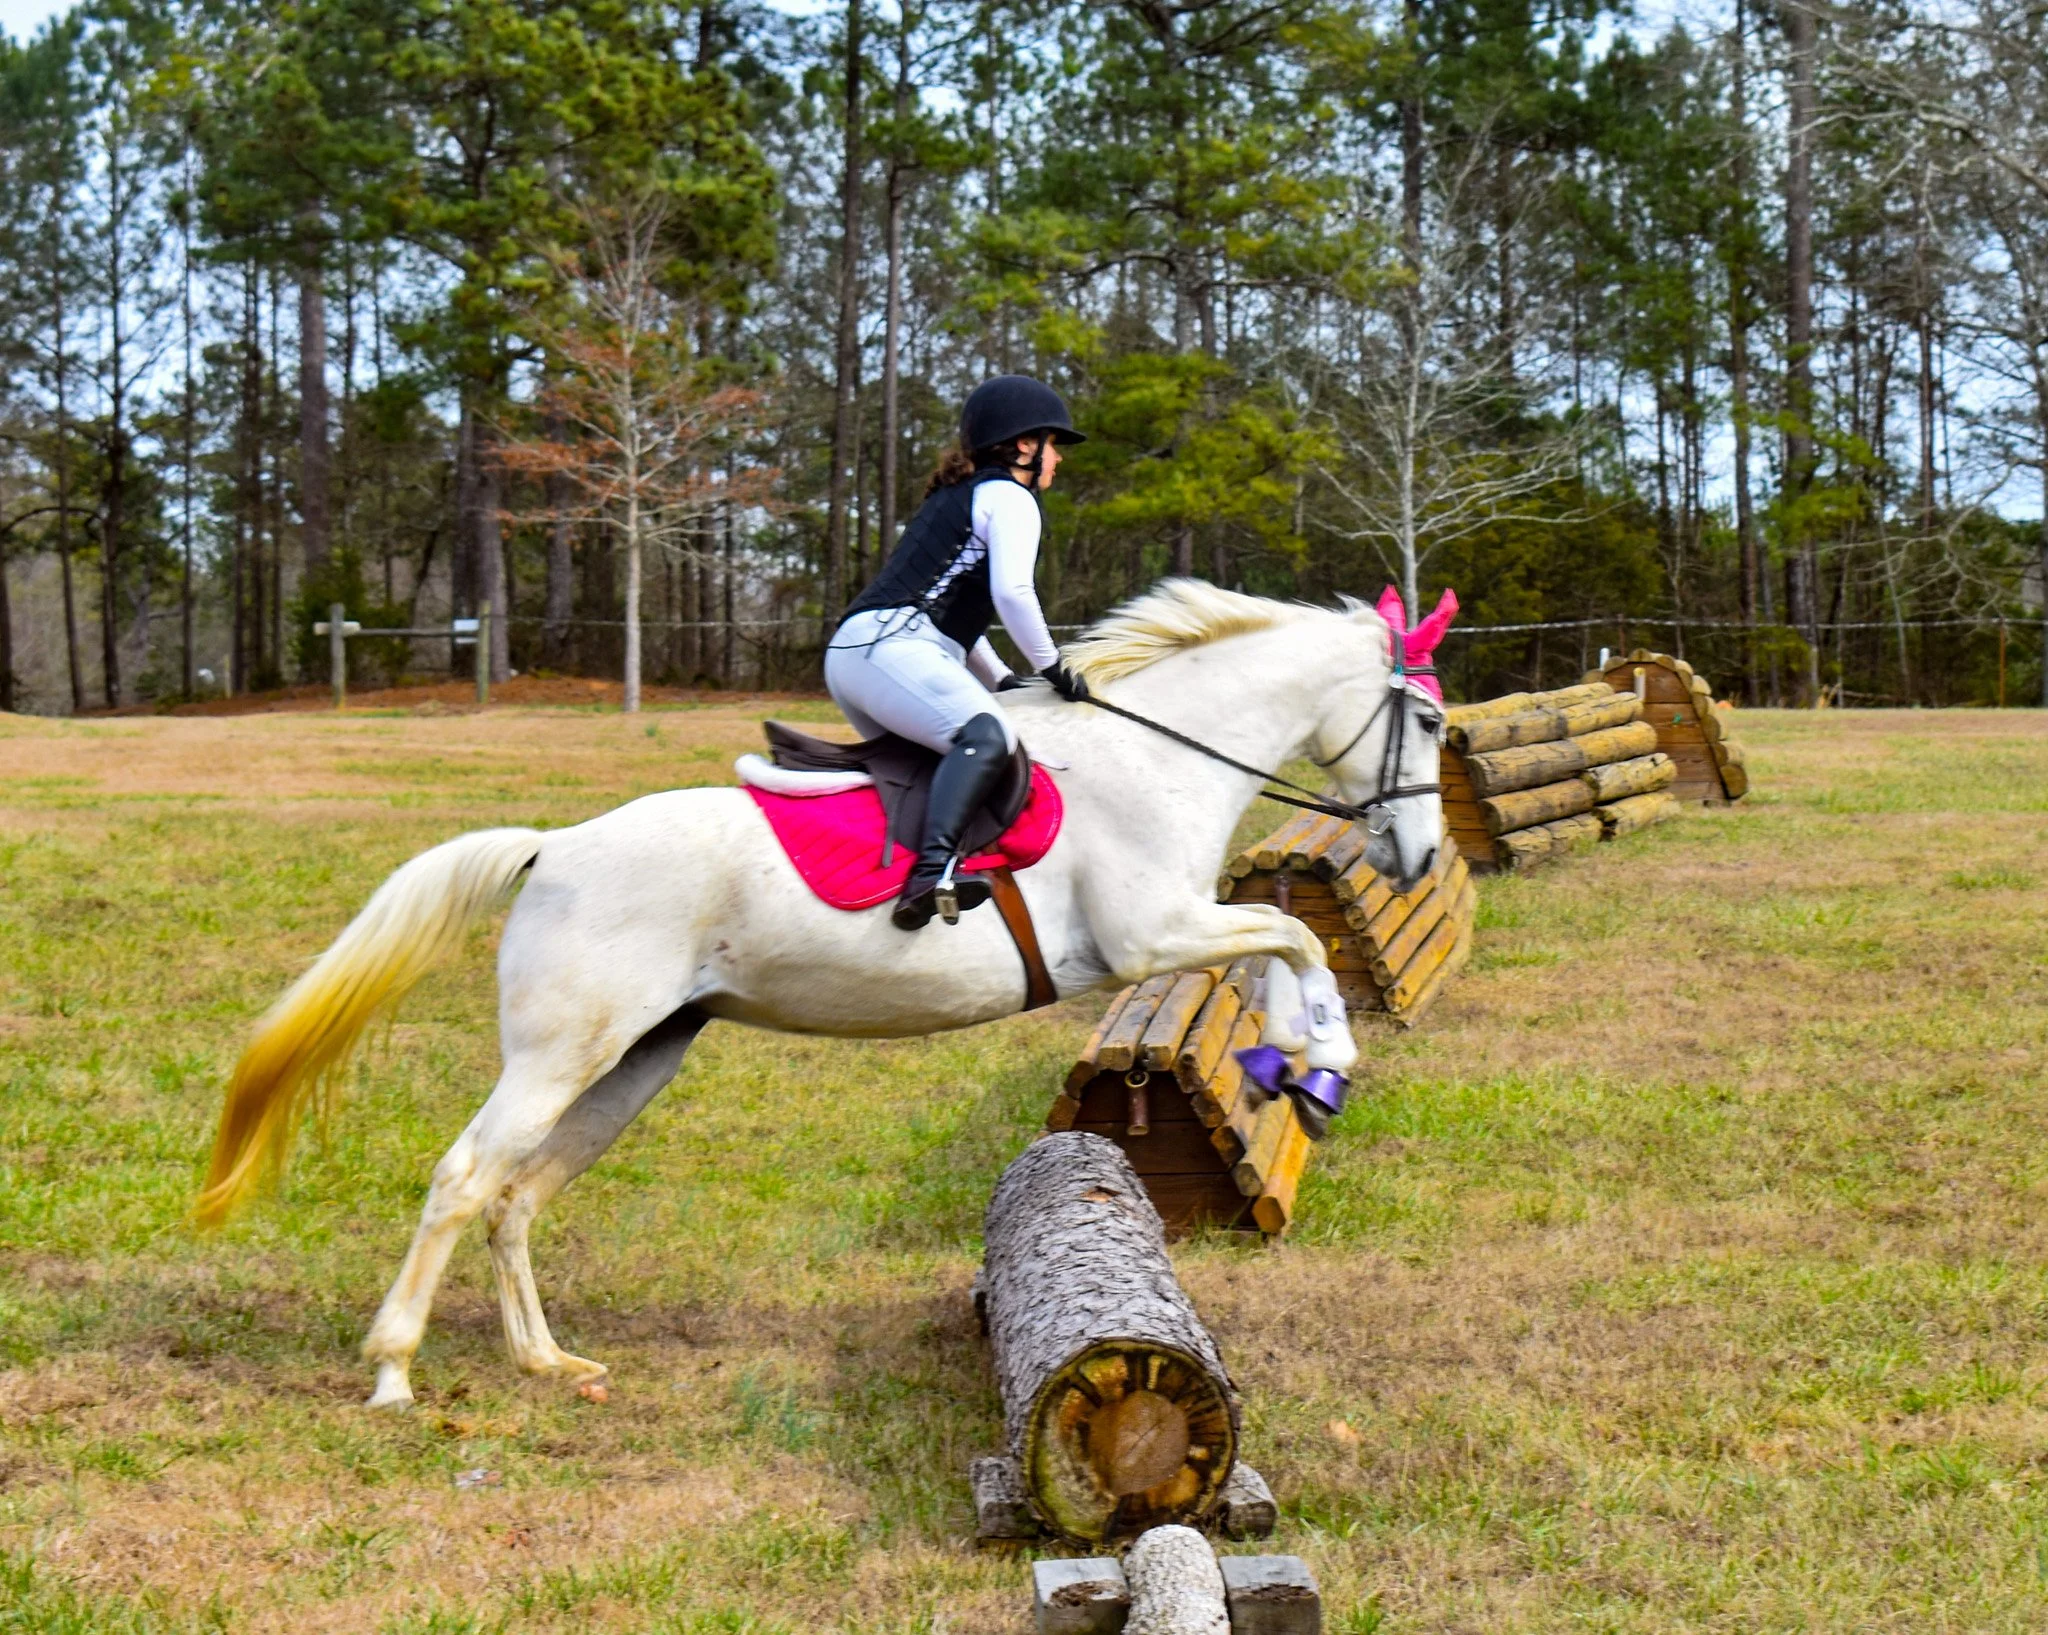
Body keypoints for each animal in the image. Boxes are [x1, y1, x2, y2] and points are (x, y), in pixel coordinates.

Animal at [195, 580, 1449, 1409]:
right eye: (1428, 719)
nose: (1419, 857)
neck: (1159, 754)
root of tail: (551, 847)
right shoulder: (1149, 935)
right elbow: (1294, 933)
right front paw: (1311, 1060)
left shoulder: (1175, 930)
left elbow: (1288, 940)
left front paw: (1300, 1062)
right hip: (561, 1054)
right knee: (465, 1179)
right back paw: (394, 1369)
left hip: (638, 1057)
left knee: (518, 1196)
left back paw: (544, 1360)